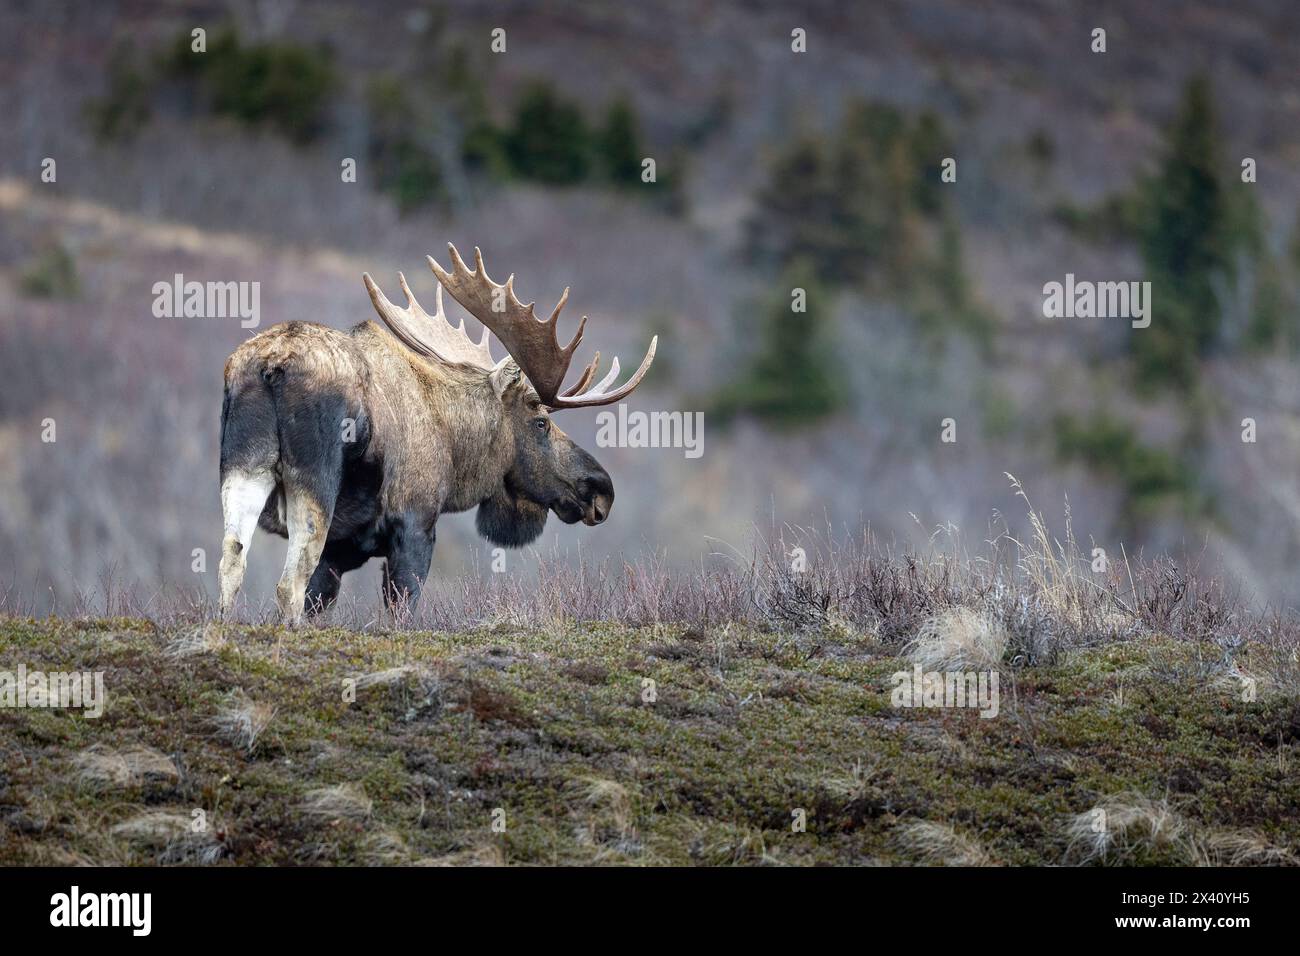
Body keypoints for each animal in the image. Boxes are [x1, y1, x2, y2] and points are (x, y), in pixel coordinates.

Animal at [217, 244, 656, 623]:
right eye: (541, 422)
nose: (600, 489)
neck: (456, 444)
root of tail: (272, 365)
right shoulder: (415, 524)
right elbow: (400, 611)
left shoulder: (344, 550)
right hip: (313, 483)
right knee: (287, 584)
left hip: (244, 468)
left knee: (231, 562)